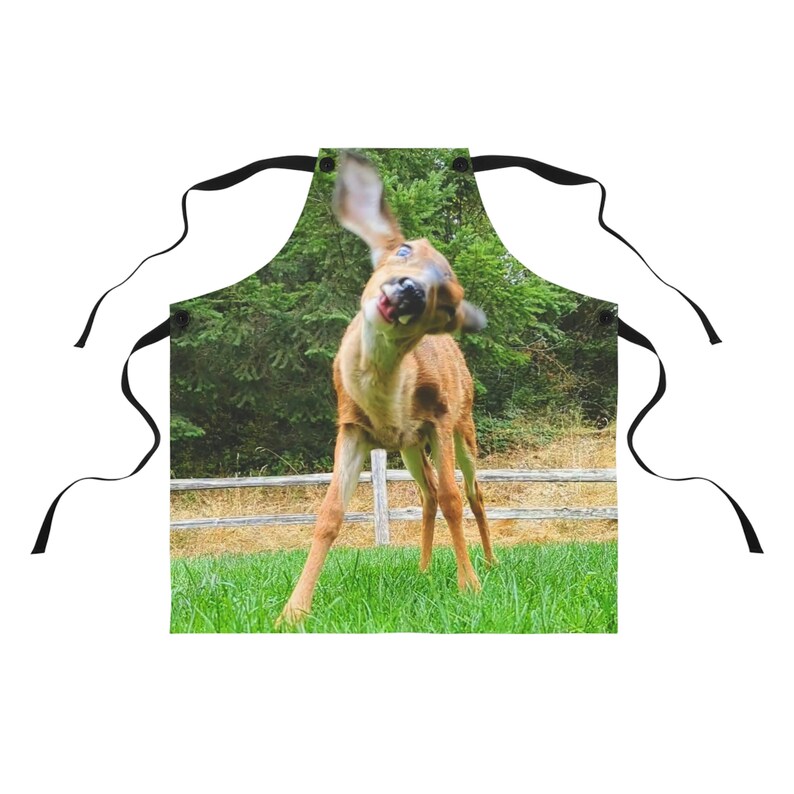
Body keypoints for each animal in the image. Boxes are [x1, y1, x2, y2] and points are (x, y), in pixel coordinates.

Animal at [278, 150, 495, 625]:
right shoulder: (351, 426)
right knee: (427, 494)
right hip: (410, 448)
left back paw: (490, 563)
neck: (385, 406)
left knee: (472, 491)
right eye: (403, 250)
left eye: (447, 301)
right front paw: (293, 611)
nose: (409, 290)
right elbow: (329, 513)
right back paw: (423, 568)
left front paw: (470, 587)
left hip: (464, 424)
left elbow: (453, 498)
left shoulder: (439, 417)